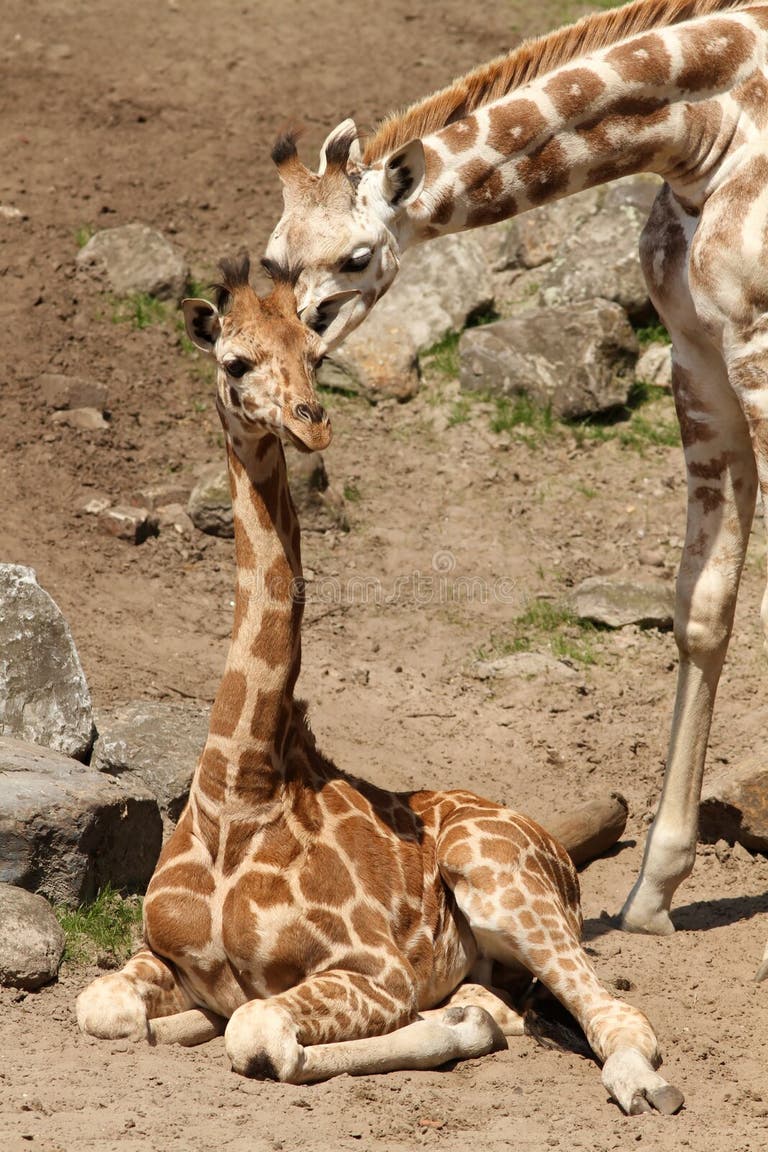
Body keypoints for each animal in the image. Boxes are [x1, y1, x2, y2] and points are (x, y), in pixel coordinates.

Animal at [75, 255, 683, 1115]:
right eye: (235, 363)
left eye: (317, 354)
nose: (311, 422)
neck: (240, 792)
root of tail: (550, 844)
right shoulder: (159, 953)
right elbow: (102, 1005)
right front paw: (175, 1025)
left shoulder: (376, 968)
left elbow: (258, 1028)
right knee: (509, 1009)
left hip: (503, 883)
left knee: (615, 1016)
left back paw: (638, 1084)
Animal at [264, 0, 768, 974]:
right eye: (270, 259)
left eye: (356, 258)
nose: (286, 364)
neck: (710, 138)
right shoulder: (702, 360)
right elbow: (703, 607)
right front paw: (654, 893)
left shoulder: (763, 354)